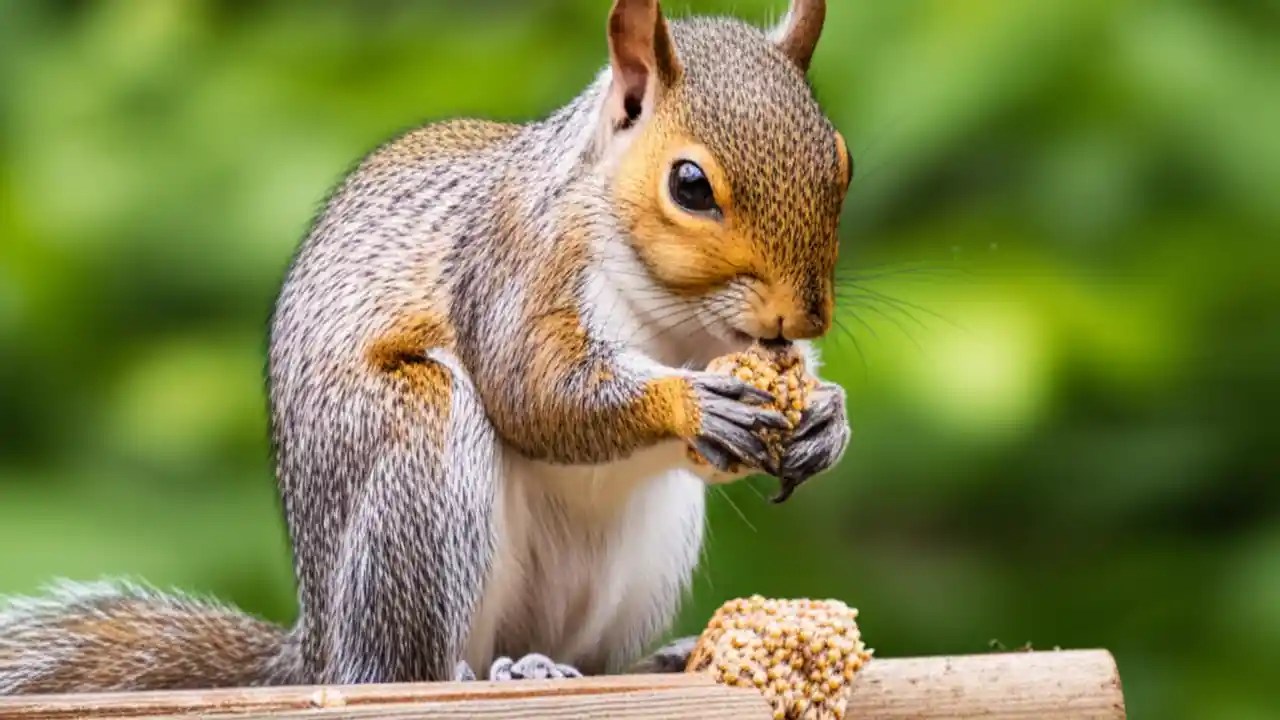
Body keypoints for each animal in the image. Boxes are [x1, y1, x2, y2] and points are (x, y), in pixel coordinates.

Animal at [0, 0, 853, 694]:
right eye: (689, 185)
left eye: (841, 160)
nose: (801, 319)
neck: (673, 312)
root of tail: (318, 652)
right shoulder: (516, 265)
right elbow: (535, 392)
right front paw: (689, 402)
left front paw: (826, 418)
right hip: (420, 457)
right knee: (399, 668)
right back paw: (495, 673)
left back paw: (638, 660)